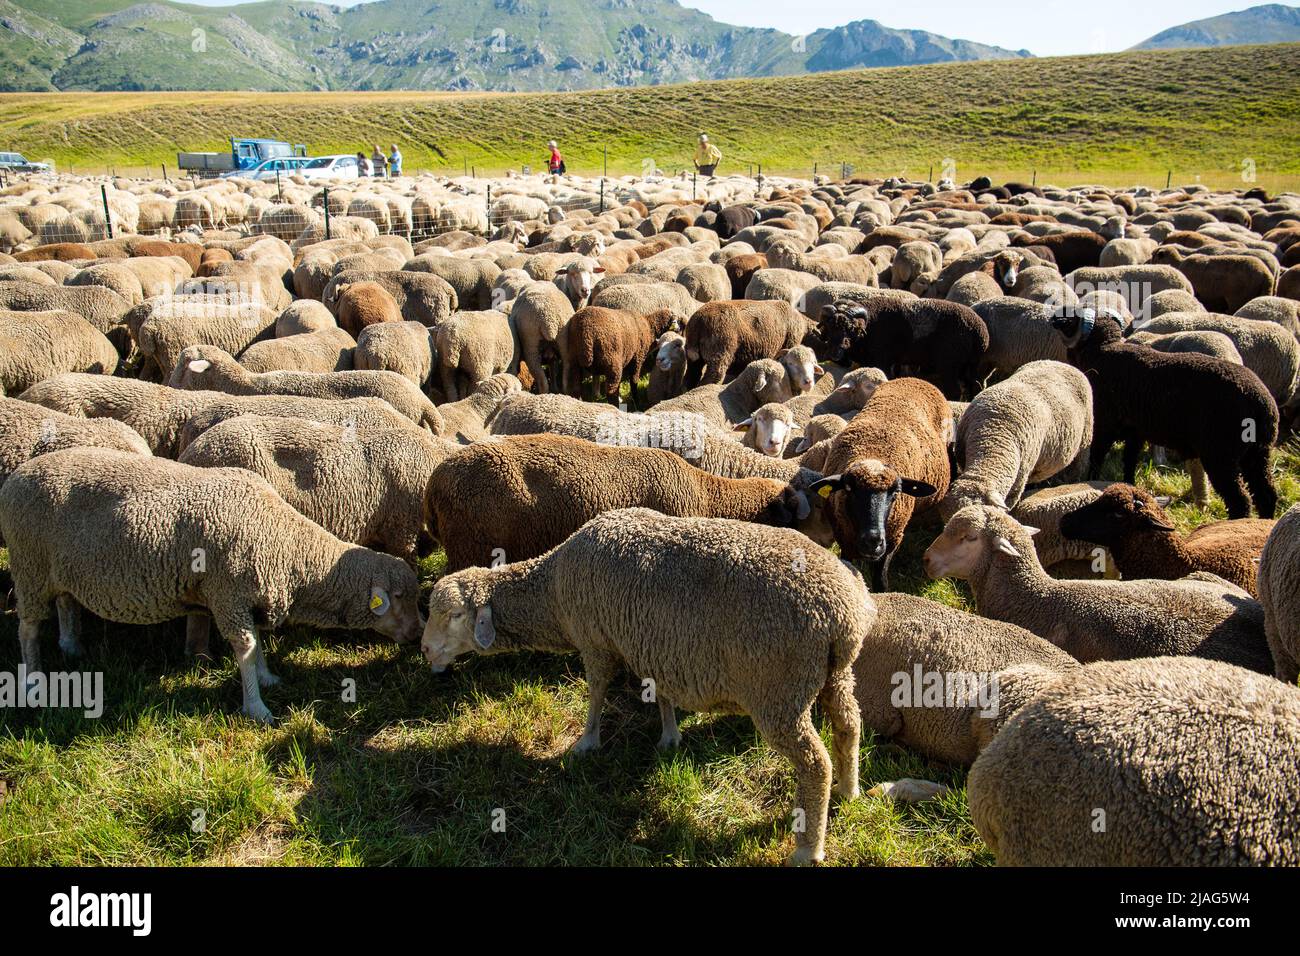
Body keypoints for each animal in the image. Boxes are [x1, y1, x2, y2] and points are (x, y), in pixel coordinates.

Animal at [0, 448, 422, 723]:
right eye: (399, 597)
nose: (419, 634)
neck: (288, 547)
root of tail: (17, 476)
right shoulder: (227, 593)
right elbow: (245, 646)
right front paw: (257, 708)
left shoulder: (248, 596)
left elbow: (256, 643)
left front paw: (267, 678)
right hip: (28, 564)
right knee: (27, 629)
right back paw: (34, 682)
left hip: (57, 568)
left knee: (65, 602)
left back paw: (71, 646)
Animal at [421, 507, 871, 864]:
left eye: (455, 615)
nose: (424, 651)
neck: (553, 590)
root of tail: (843, 612)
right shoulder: (652, 645)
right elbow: (662, 696)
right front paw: (669, 737)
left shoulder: (596, 641)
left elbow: (596, 693)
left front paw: (586, 743)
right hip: (835, 675)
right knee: (849, 725)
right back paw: (849, 790)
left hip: (777, 690)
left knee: (814, 763)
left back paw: (808, 847)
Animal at [810, 378, 951, 589]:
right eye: (849, 490)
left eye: (896, 493)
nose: (873, 541)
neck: (873, 452)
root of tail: (914, 379)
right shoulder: (844, 537)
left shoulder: (892, 540)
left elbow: (881, 580)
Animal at [819, 297, 988, 399]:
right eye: (829, 326)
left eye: (850, 328)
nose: (835, 353)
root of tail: (979, 333)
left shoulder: (881, 360)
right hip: (970, 366)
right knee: (975, 386)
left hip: (949, 365)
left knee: (954, 391)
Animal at [1050, 311, 1278, 519]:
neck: (1102, 351)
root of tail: (1262, 404)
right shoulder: (1136, 431)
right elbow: (1129, 461)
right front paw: (1129, 487)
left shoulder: (1106, 424)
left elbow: (1097, 458)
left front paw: (1090, 482)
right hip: (1257, 453)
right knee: (1267, 494)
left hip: (1221, 453)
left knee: (1240, 500)